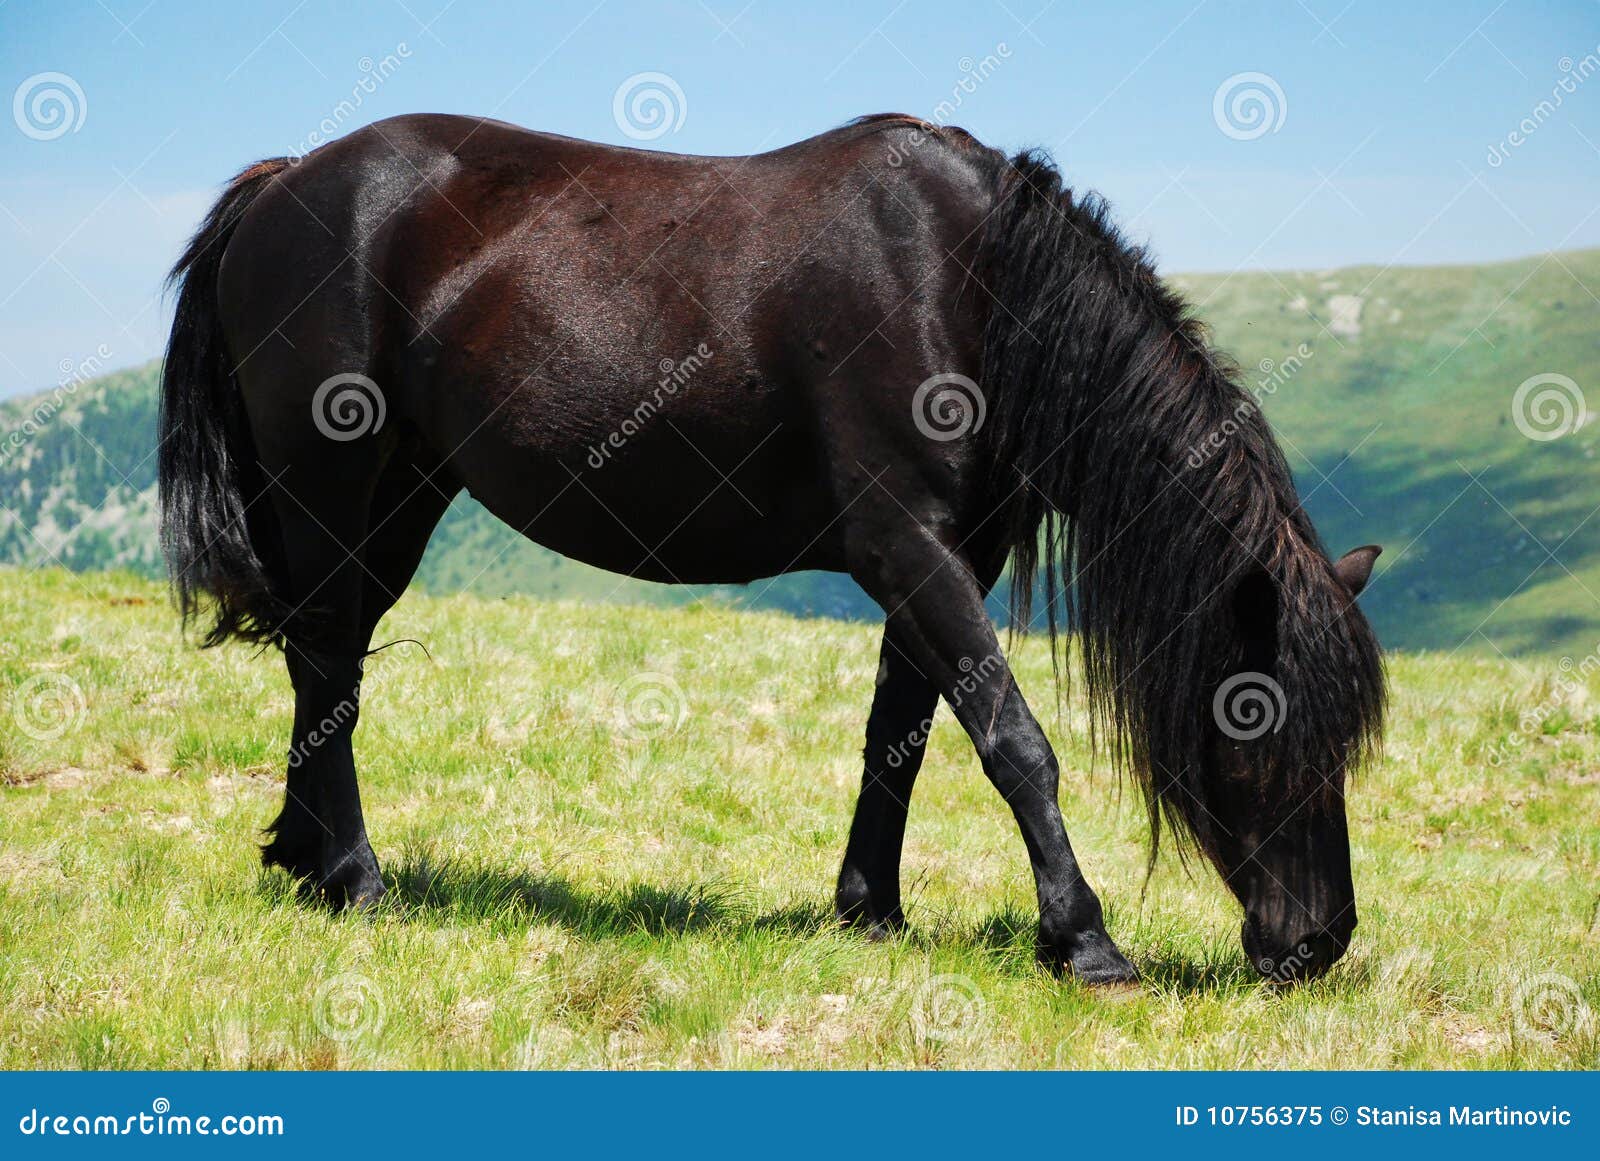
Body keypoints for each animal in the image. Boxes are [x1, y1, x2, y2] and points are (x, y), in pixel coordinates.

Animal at [159, 112, 1385, 985]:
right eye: (1256, 729)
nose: (1318, 942)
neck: (966, 286)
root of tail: (288, 180)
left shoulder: (945, 561)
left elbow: (903, 735)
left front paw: (870, 910)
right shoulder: (908, 548)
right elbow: (1011, 740)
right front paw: (1083, 940)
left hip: (405, 492)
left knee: (327, 652)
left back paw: (303, 856)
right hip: (329, 482)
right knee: (324, 652)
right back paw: (356, 879)